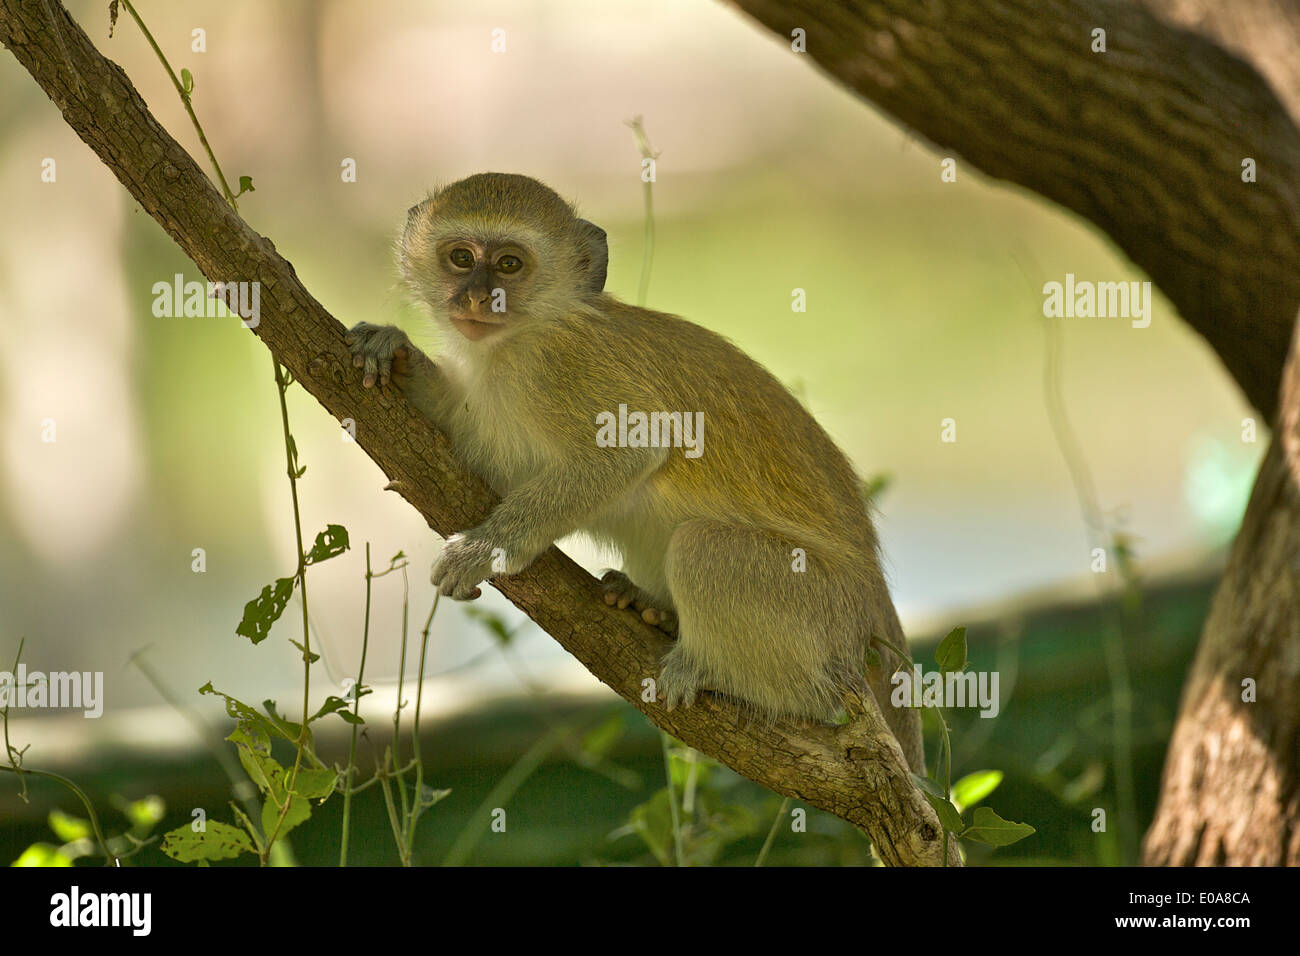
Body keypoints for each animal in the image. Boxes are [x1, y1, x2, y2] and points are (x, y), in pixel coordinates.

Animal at [346, 172, 924, 773]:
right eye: (461, 258)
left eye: (508, 264)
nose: (478, 297)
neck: (520, 338)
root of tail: (873, 604)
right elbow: (477, 455)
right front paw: (396, 351)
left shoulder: (562, 365)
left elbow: (630, 452)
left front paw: (488, 547)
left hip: (821, 611)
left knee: (703, 549)